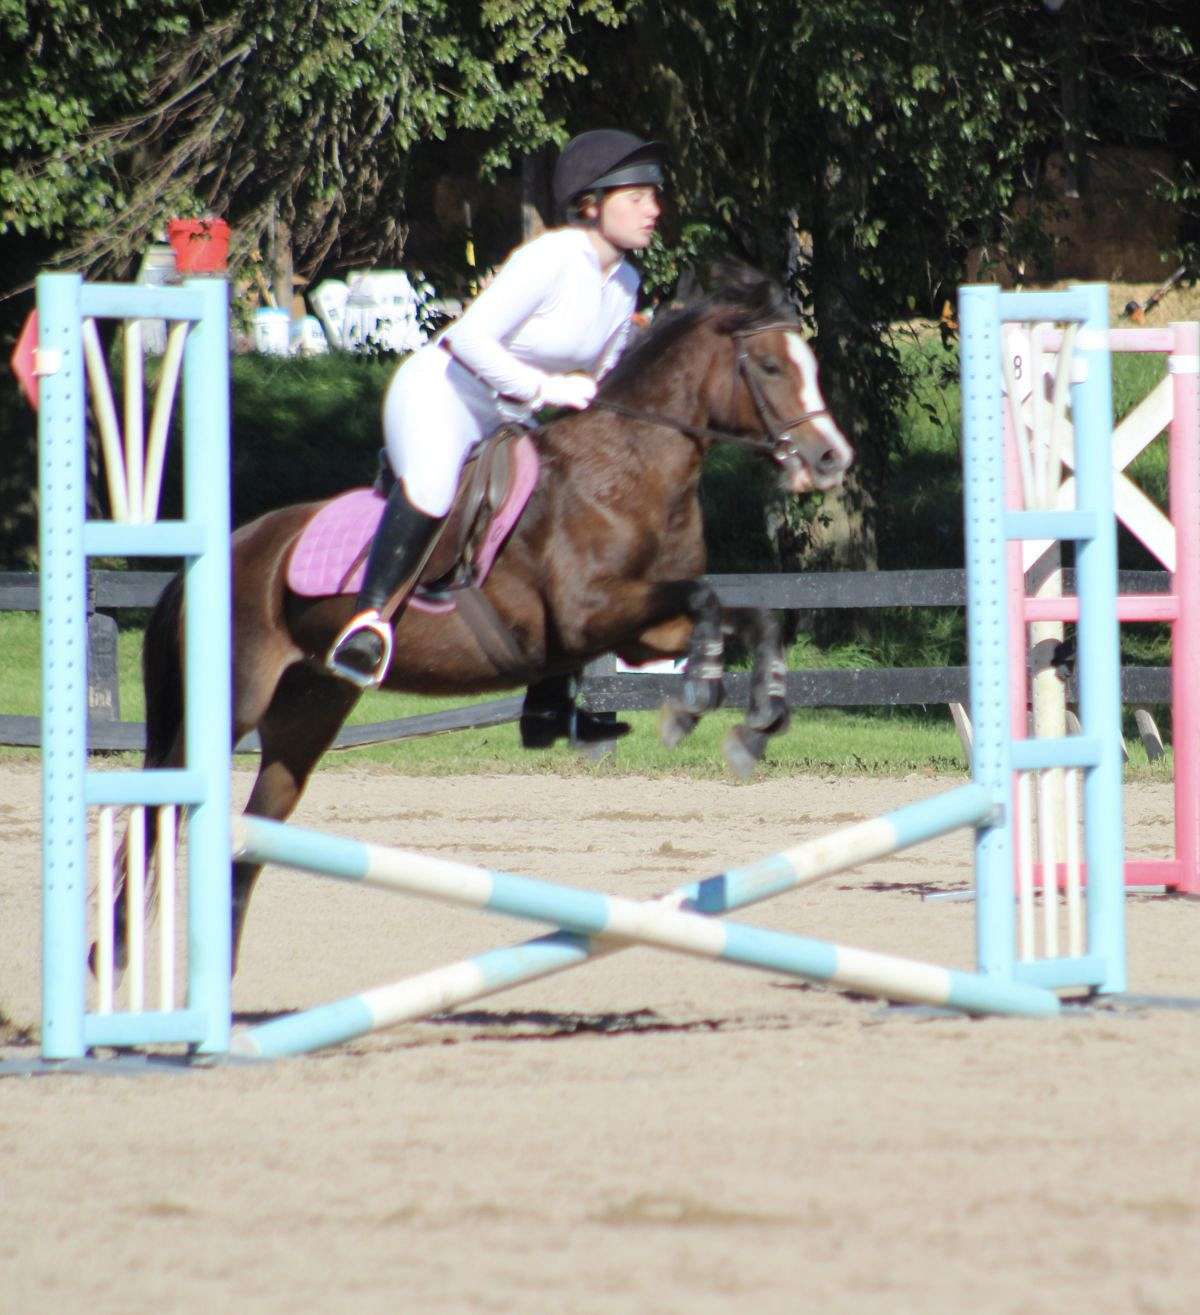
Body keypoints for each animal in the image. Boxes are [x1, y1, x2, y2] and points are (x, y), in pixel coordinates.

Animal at [108, 262, 853, 971]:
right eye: (770, 366)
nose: (831, 458)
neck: (627, 468)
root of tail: (230, 549)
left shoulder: (643, 630)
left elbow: (746, 613)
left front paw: (756, 723)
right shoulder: (593, 616)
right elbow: (707, 601)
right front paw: (692, 704)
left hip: (307, 709)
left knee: (254, 832)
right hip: (230, 701)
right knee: (158, 812)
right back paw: (111, 953)